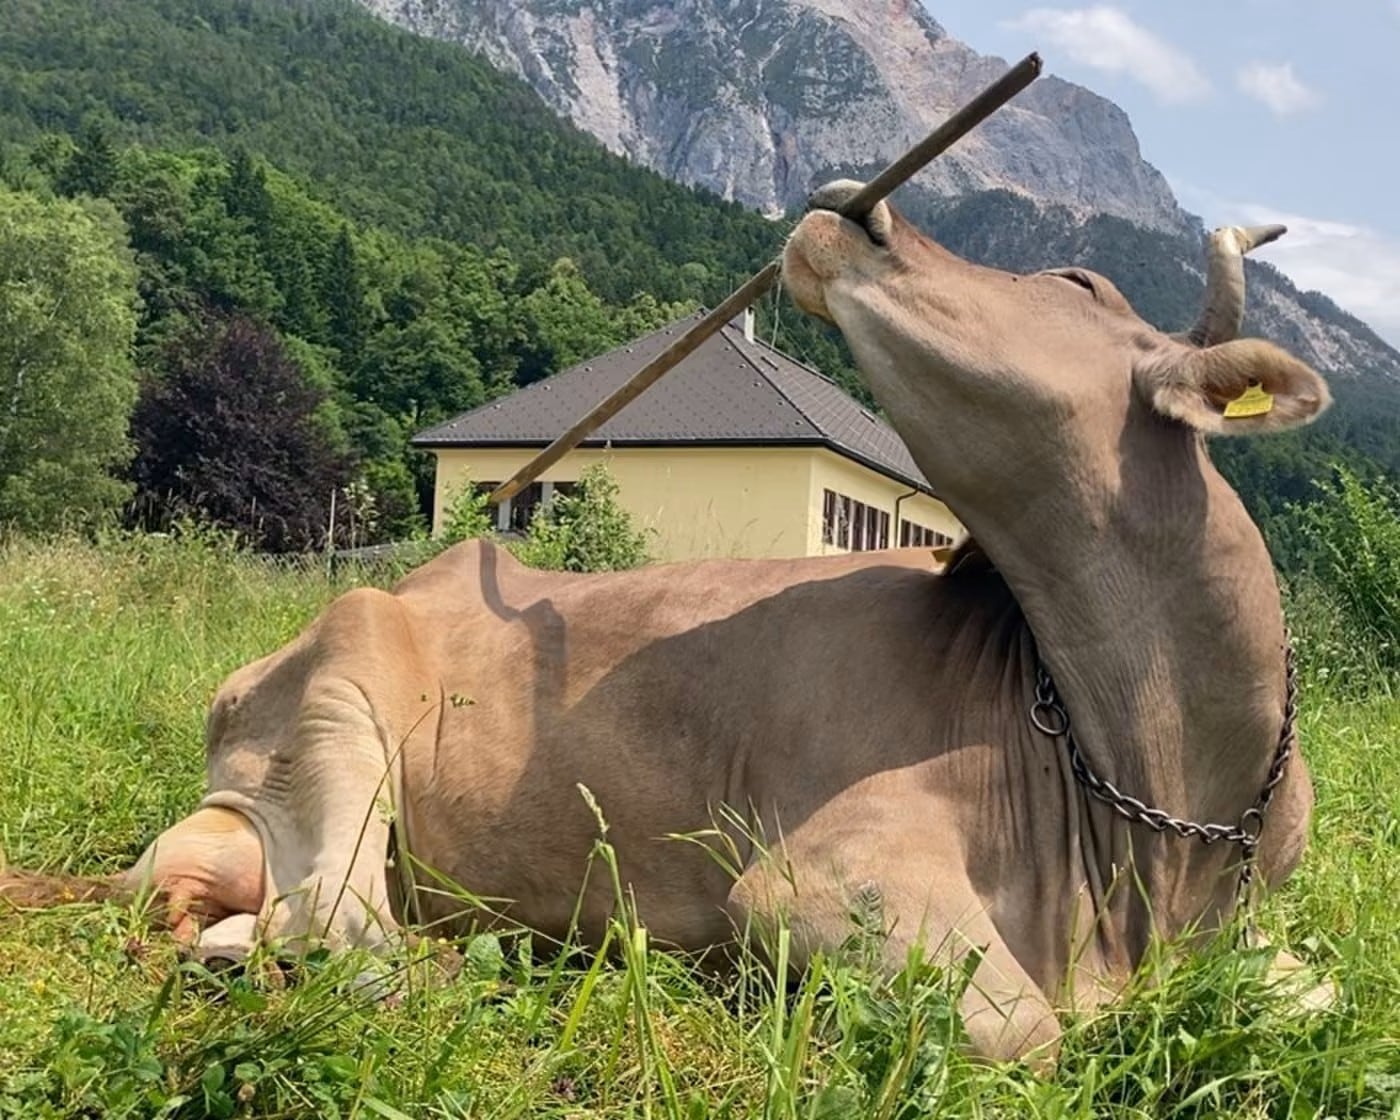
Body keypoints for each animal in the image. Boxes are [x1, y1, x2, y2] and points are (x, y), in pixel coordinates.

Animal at [1, 181, 1330, 1062]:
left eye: (1071, 283)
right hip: (337, 698)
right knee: (339, 927)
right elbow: (1029, 1032)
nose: (848, 205)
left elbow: (1318, 998)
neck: (1157, 809)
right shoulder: (818, 876)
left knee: (266, 920)